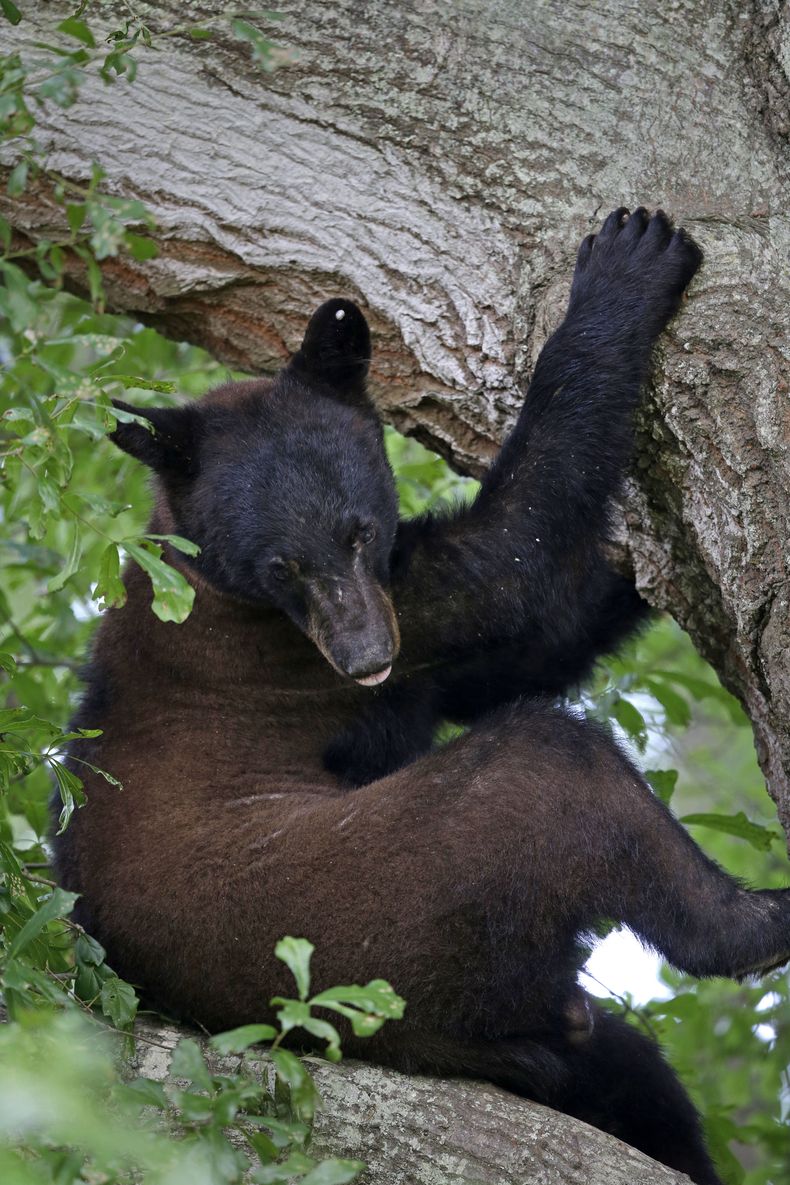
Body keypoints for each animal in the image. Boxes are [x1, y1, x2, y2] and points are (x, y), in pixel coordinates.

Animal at [55, 208, 790, 1185]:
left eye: (358, 530)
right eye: (279, 566)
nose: (365, 657)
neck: (198, 571)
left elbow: (523, 646)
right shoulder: (299, 651)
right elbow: (515, 570)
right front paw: (626, 266)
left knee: (635, 1077)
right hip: (407, 901)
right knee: (559, 773)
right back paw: (761, 918)